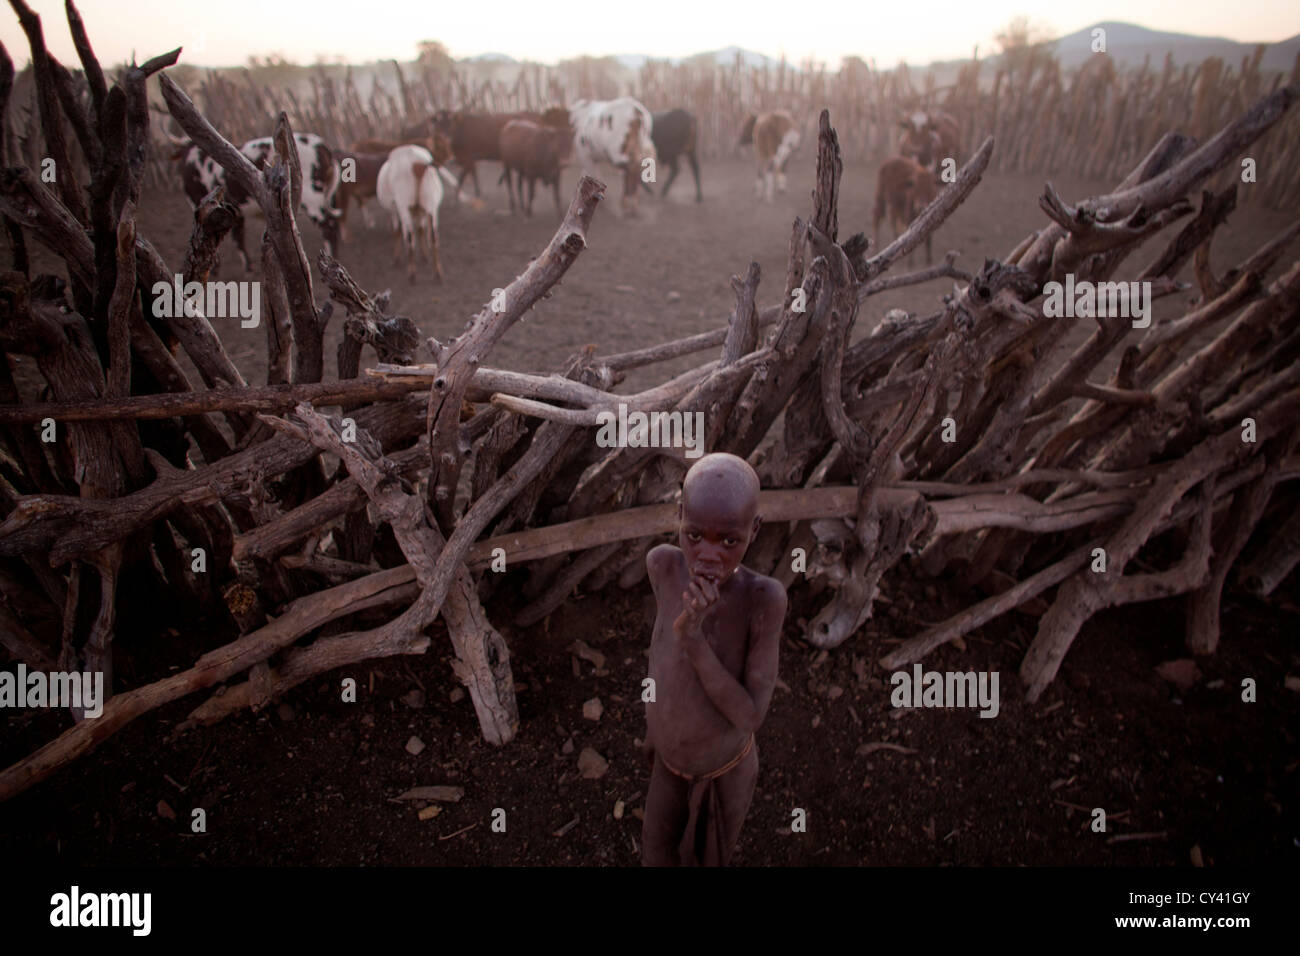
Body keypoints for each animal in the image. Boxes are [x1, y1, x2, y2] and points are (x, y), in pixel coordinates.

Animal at [170, 128, 343, 270]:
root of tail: (320, 144)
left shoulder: (199, 204)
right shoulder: (233, 211)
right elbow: (238, 237)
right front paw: (248, 267)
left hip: (312, 197)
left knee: (329, 225)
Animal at [431, 107, 569, 199]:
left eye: (450, 123)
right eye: (438, 123)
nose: (444, 137)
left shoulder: (468, 157)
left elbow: (462, 177)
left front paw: (456, 199)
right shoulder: (470, 159)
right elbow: (472, 174)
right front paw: (477, 192)